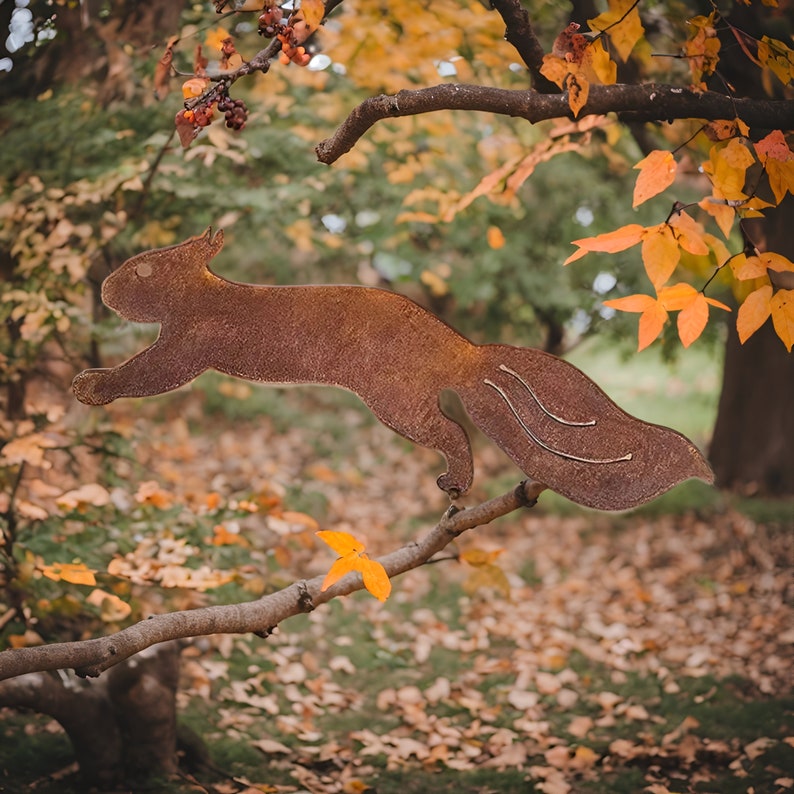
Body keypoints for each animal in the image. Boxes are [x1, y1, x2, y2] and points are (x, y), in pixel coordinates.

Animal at [73, 229, 713, 511]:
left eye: (142, 271)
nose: (105, 289)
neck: (204, 292)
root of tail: (463, 353)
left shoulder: (186, 347)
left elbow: (143, 374)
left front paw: (93, 385)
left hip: (395, 401)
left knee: (453, 434)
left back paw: (456, 482)